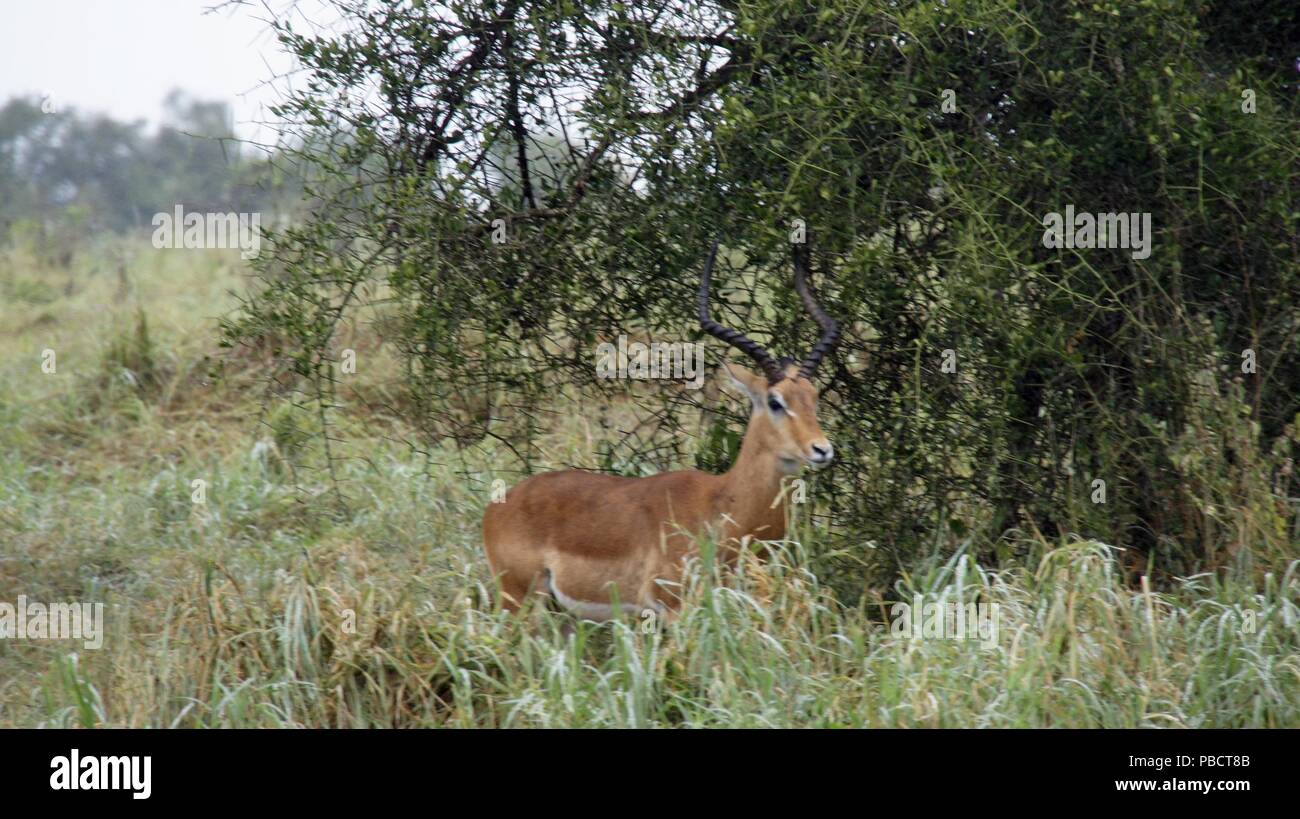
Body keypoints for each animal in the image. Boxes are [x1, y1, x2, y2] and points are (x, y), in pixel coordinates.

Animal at [482, 239, 841, 619]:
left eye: (813, 396)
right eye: (775, 401)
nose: (822, 449)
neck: (721, 504)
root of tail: (498, 505)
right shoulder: (671, 609)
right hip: (519, 602)